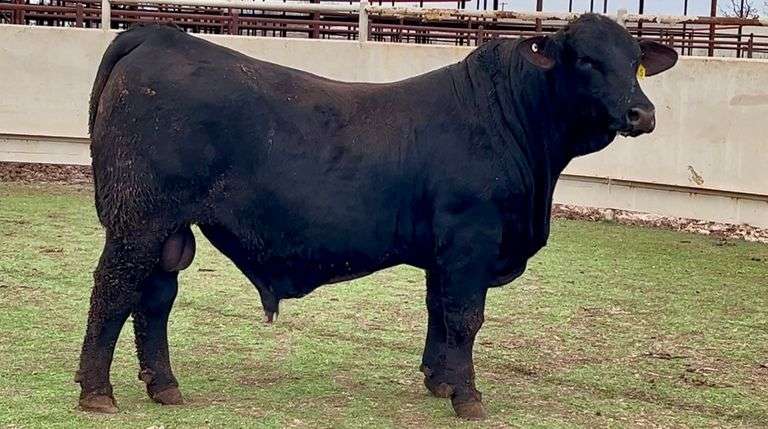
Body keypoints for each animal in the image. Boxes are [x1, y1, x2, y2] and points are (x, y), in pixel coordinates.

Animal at [76, 14, 678, 419]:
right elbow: (465, 317)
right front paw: (468, 397)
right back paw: (96, 392)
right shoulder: (471, 236)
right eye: (587, 60)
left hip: (168, 229)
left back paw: (164, 387)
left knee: (154, 298)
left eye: (634, 62)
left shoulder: (444, 250)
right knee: (113, 289)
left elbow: (439, 311)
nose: (642, 113)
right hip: (139, 218)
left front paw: (439, 381)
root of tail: (157, 35)